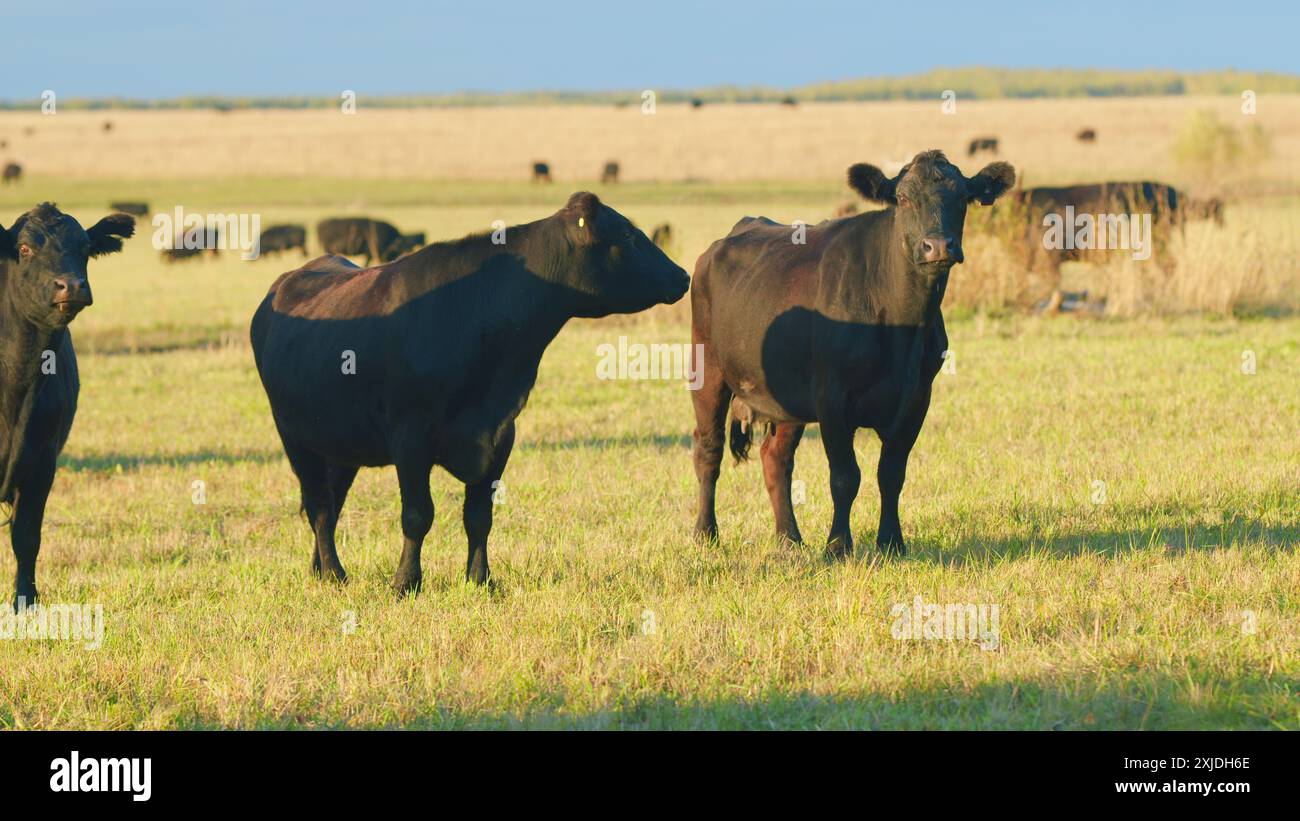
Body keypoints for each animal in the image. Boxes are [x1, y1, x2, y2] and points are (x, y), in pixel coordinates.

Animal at [0, 204, 134, 608]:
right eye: (24, 248)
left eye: (85, 247)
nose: (71, 285)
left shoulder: (43, 462)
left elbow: (27, 537)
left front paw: (25, 601)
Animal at [250, 192, 689, 594]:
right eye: (628, 235)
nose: (683, 276)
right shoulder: (410, 439)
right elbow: (418, 515)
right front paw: (406, 582)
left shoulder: (501, 434)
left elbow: (479, 515)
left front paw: (481, 579)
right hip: (295, 439)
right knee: (320, 508)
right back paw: (334, 574)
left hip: (342, 445)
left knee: (332, 501)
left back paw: (320, 568)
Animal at [689, 151, 1014, 557]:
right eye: (903, 198)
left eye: (963, 198)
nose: (939, 246)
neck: (902, 326)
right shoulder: (831, 399)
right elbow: (845, 477)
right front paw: (838, 546)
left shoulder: (917, 399)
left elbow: (891, 473)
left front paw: (891, 543)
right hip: (707, 371)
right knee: (709, 452)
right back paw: (706, 534)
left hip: (786, 397)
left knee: (775, 459)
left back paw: (789, 538)